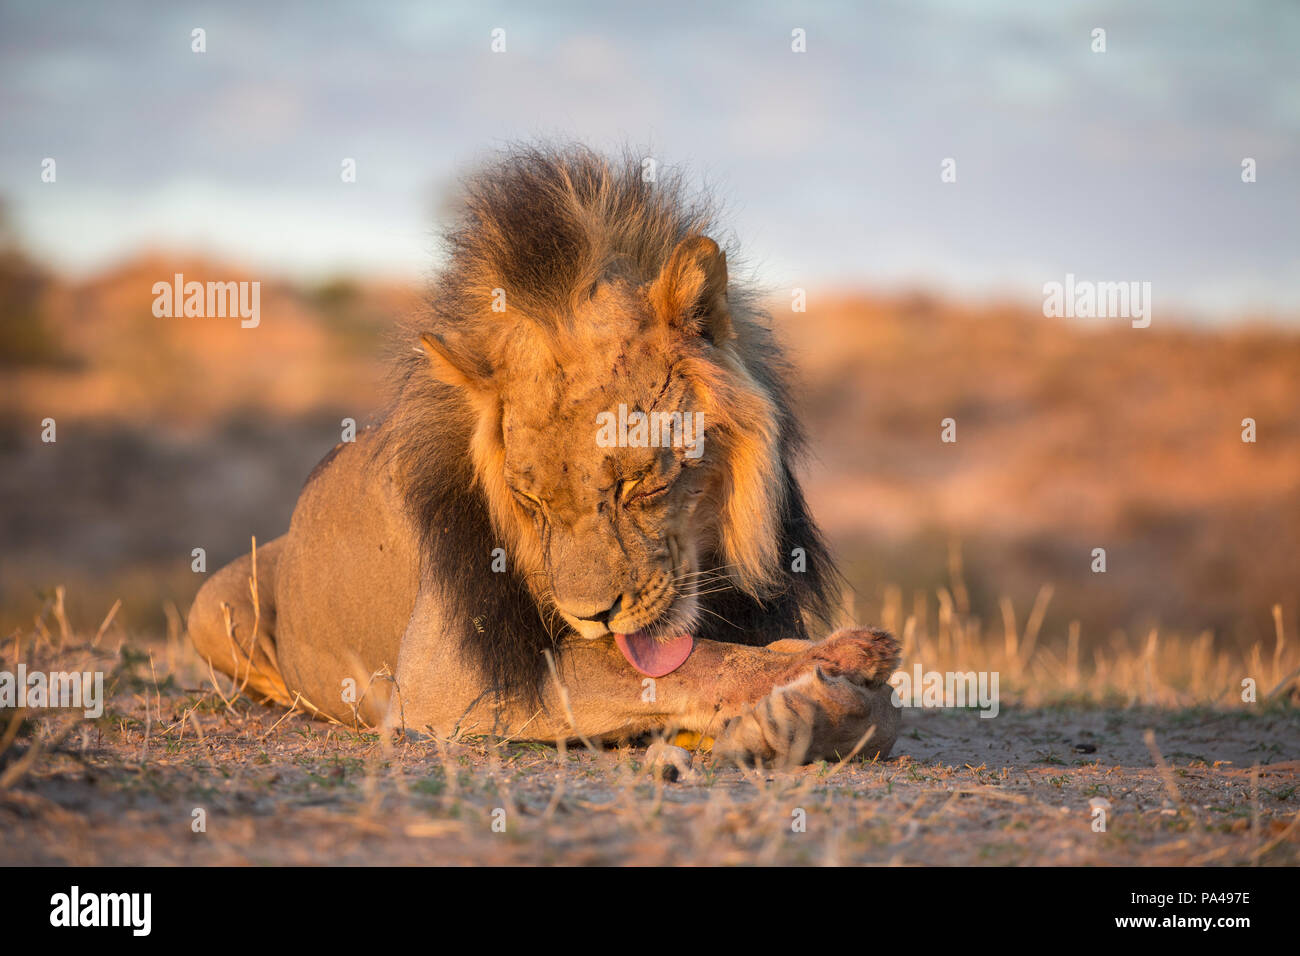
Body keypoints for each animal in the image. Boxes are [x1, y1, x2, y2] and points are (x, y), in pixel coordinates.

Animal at [187, 145, 900, 766]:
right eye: (529, 501)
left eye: (642, 485)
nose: (592, 617)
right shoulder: (443, 679)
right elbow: (675, 661)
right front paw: (830, 670)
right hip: (211, 601)